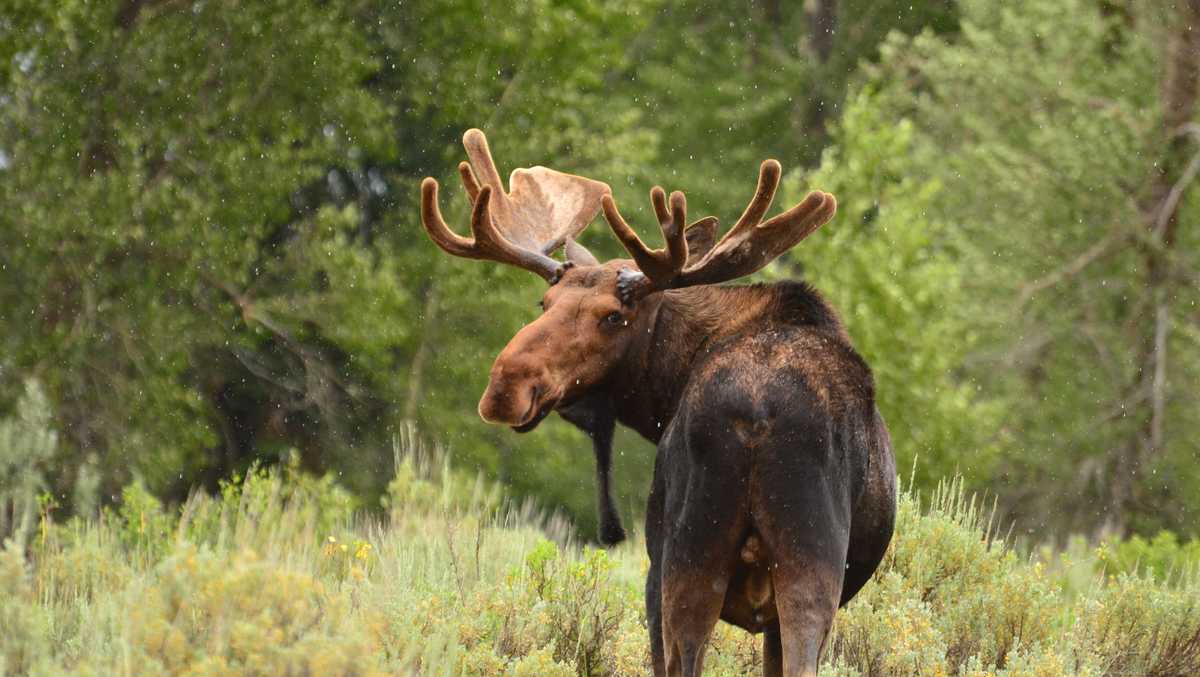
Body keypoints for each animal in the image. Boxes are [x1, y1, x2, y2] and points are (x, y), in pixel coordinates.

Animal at [419, 129, 897, 677]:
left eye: (613, 316)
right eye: (545, 303)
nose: (505, 386)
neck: (667, 389)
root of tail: (757, 417)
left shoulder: (654, 566)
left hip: (687, 558)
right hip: (790, 565)